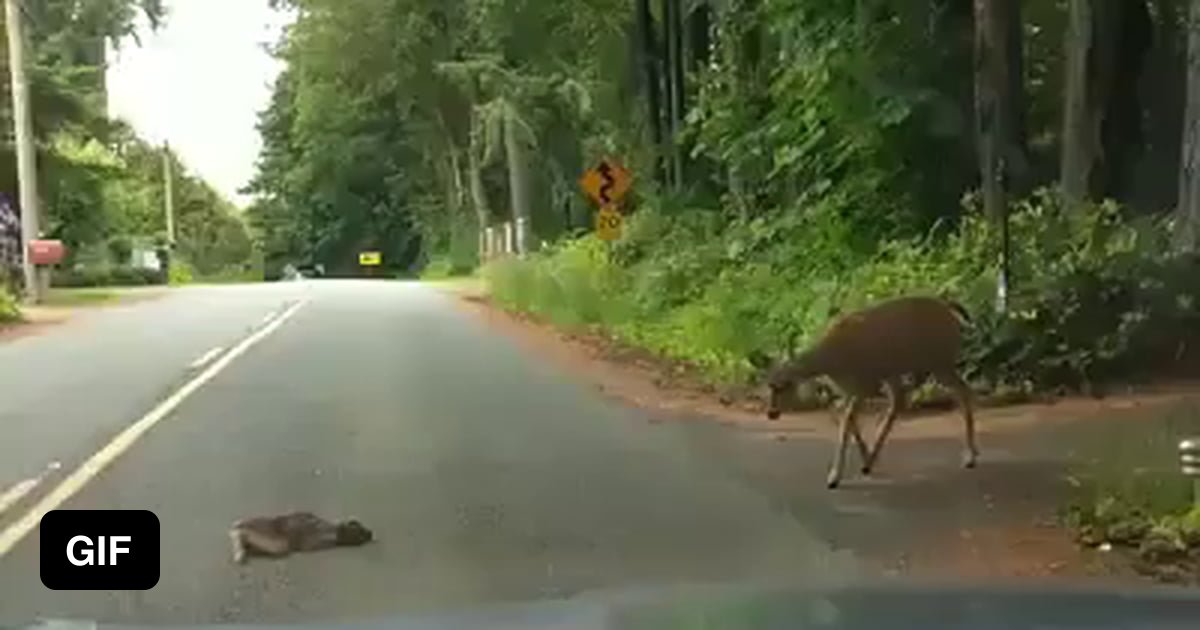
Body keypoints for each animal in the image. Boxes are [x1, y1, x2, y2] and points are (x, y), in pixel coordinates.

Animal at [748, 295, 978, 489]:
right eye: (768, 384)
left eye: (785, 385)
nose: (772, 413)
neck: (832, 361)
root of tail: (949, 309)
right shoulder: (852, 389)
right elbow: (850, 420)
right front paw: (863, 459)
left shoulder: (863, 384)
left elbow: (846, 421)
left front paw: (834, 477)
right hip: (903, 369)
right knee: (900, 401)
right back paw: (871, 462)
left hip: (940, 361)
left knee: (963, 390)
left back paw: (970, 458)